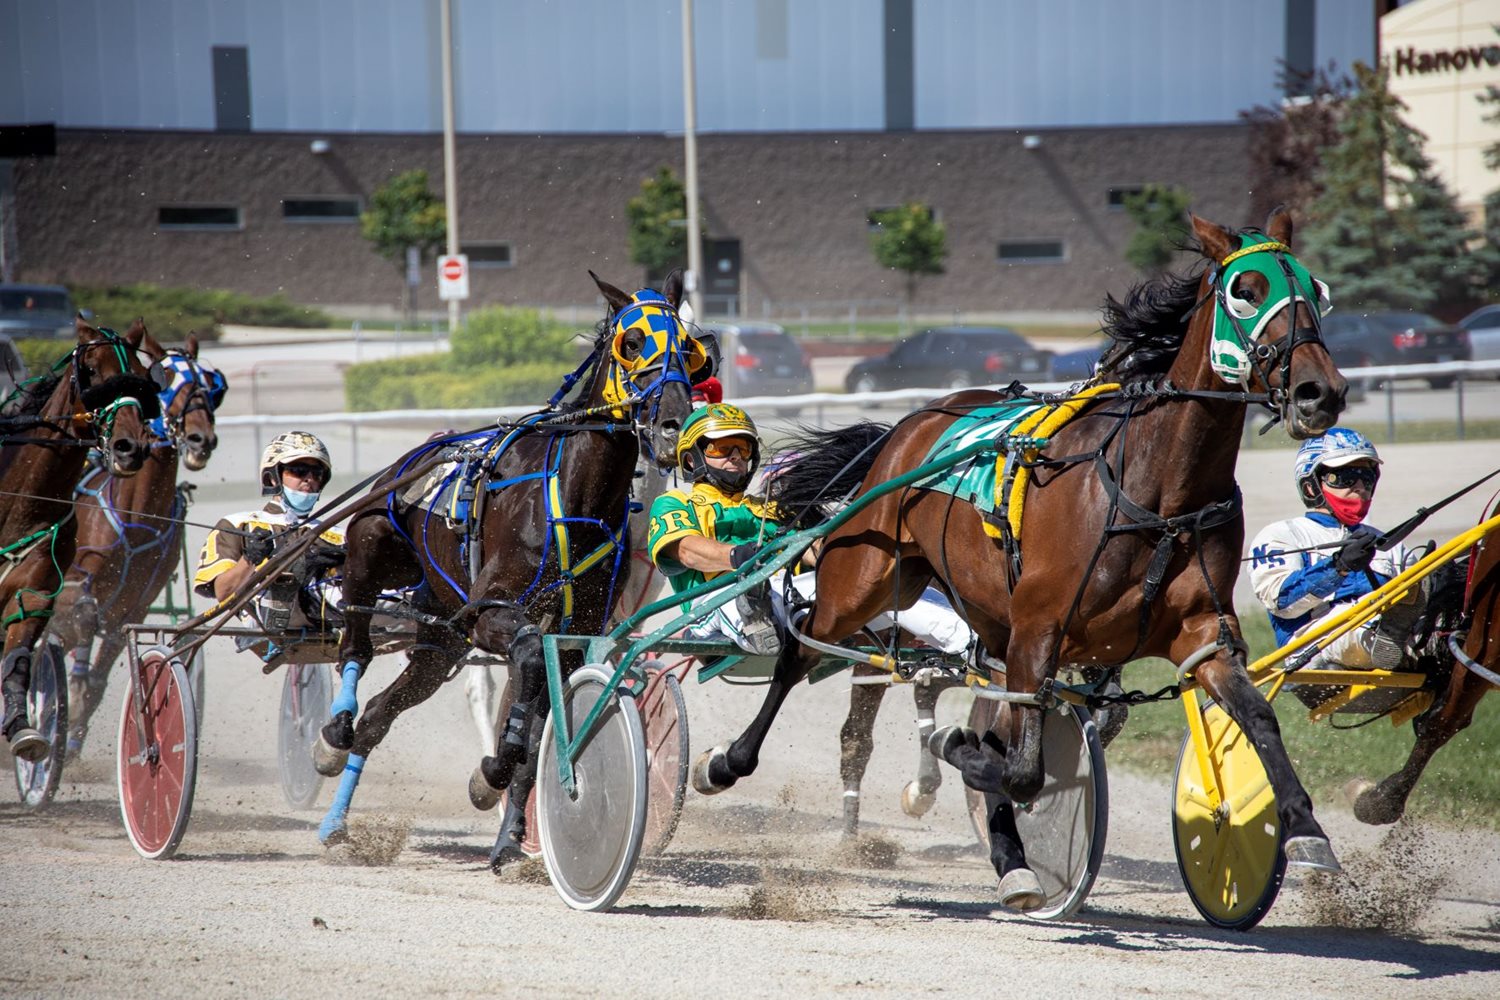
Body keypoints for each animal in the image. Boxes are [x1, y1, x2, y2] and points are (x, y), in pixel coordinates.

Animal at [1, 317, 156, 759]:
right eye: (90, 371)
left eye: (141, 378)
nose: (129, 446)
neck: (21, 502)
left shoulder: (34, 593)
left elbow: (18, 662)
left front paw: (24, 730)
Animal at [47, 328, 224, 758]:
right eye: (166, 382)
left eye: (210, 386)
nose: (201, 439)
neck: (139, 514)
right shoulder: (75, 584)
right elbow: (81, 617)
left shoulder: (132, 605)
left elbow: (100, 676)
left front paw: (74, 734)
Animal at [312, 271, 699, 859]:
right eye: (631, 343)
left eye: (692, 349)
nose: (674, 423)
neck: (573, 496)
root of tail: (427, 448)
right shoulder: (490, 610)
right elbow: (530, 661)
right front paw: (494, 767)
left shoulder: (577, 629)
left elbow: (546, 718)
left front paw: (510, 821)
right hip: (374, 546)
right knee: (354, 638)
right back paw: (334, 735)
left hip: (441, 629)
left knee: (381, 712)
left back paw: (337, 814)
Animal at [694, 208, 1351, 909]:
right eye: (1245, 290)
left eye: (1317, 289)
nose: (1321, 391)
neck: (1155, 489)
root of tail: (912, 422)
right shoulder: (1040, 626)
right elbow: (1021, 768)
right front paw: (955, 749)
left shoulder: (1201, 633)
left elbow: (1255, 714)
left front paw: (1307, 832)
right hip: (867, 579)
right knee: (799, 651)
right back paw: (726, 761)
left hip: (983, 613)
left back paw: (1012, 861)